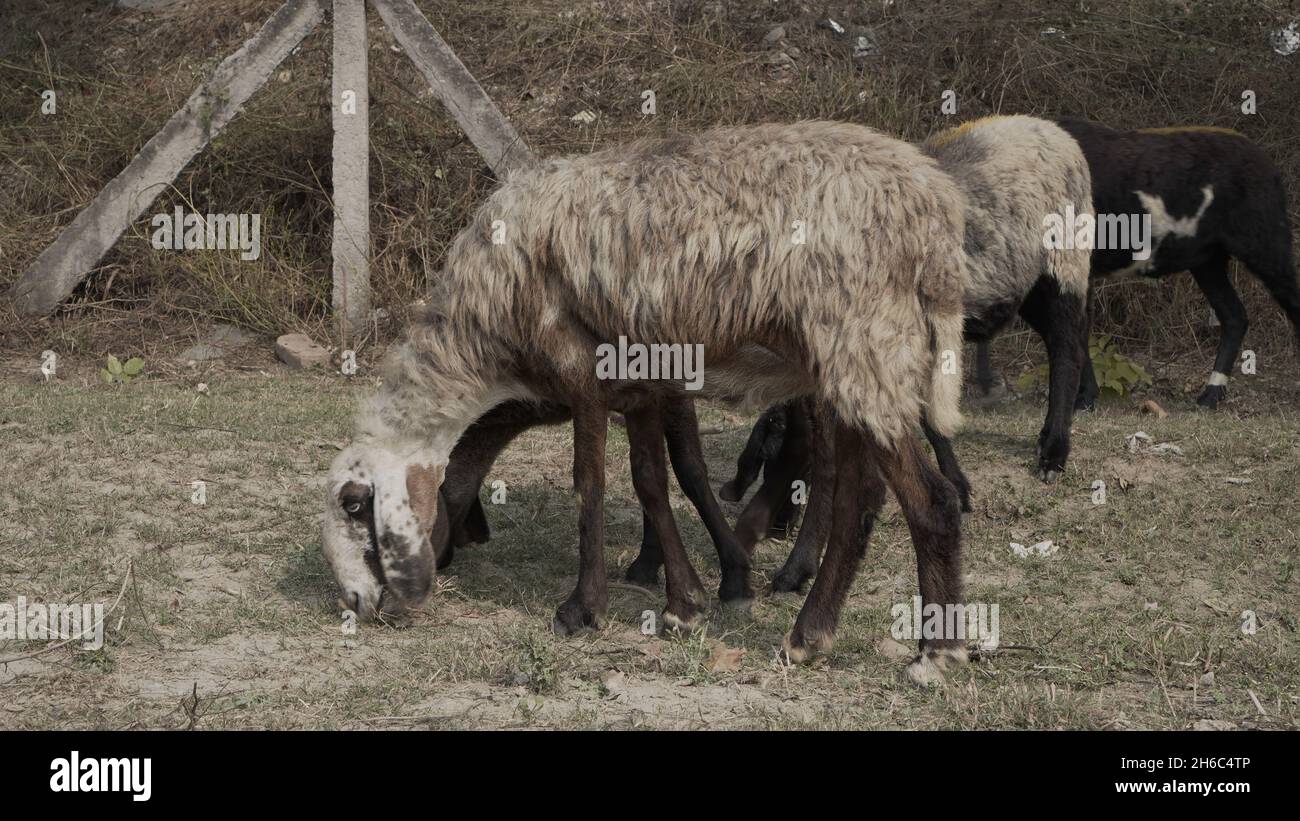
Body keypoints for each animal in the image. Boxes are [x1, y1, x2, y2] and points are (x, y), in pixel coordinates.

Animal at [320, 120, 971, 676]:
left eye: (353, 504)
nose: (356, 603)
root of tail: (937, 212)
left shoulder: (580, 365)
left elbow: (591, 483)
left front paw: (583, 608)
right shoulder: (639, 383)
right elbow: (652, 481)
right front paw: (684, 603)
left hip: (864, 342)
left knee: (929, 500)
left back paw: (935, 653)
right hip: (852, 361)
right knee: (858, 502)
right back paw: (810, 634)